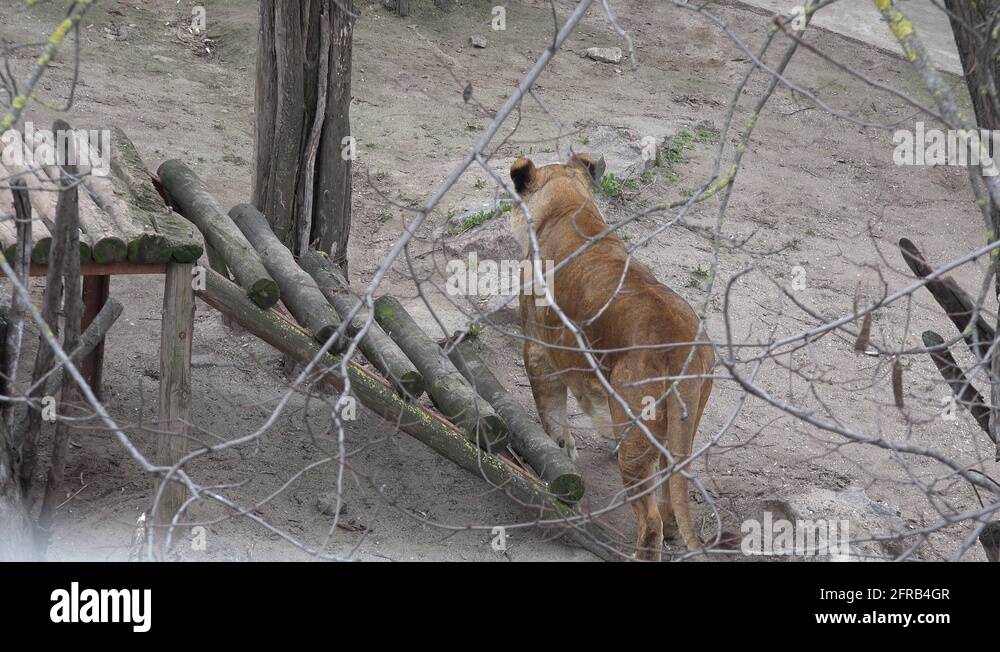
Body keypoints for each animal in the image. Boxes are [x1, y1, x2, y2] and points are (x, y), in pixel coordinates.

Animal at [509, 153, 715, 561]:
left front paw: (560, 456)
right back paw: (673, 529)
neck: (569, 206)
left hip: (636, 425)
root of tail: (679, 342)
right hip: (684, 421)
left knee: (649, 519)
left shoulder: (539, 351)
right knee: (671, 487)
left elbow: (552, 418)